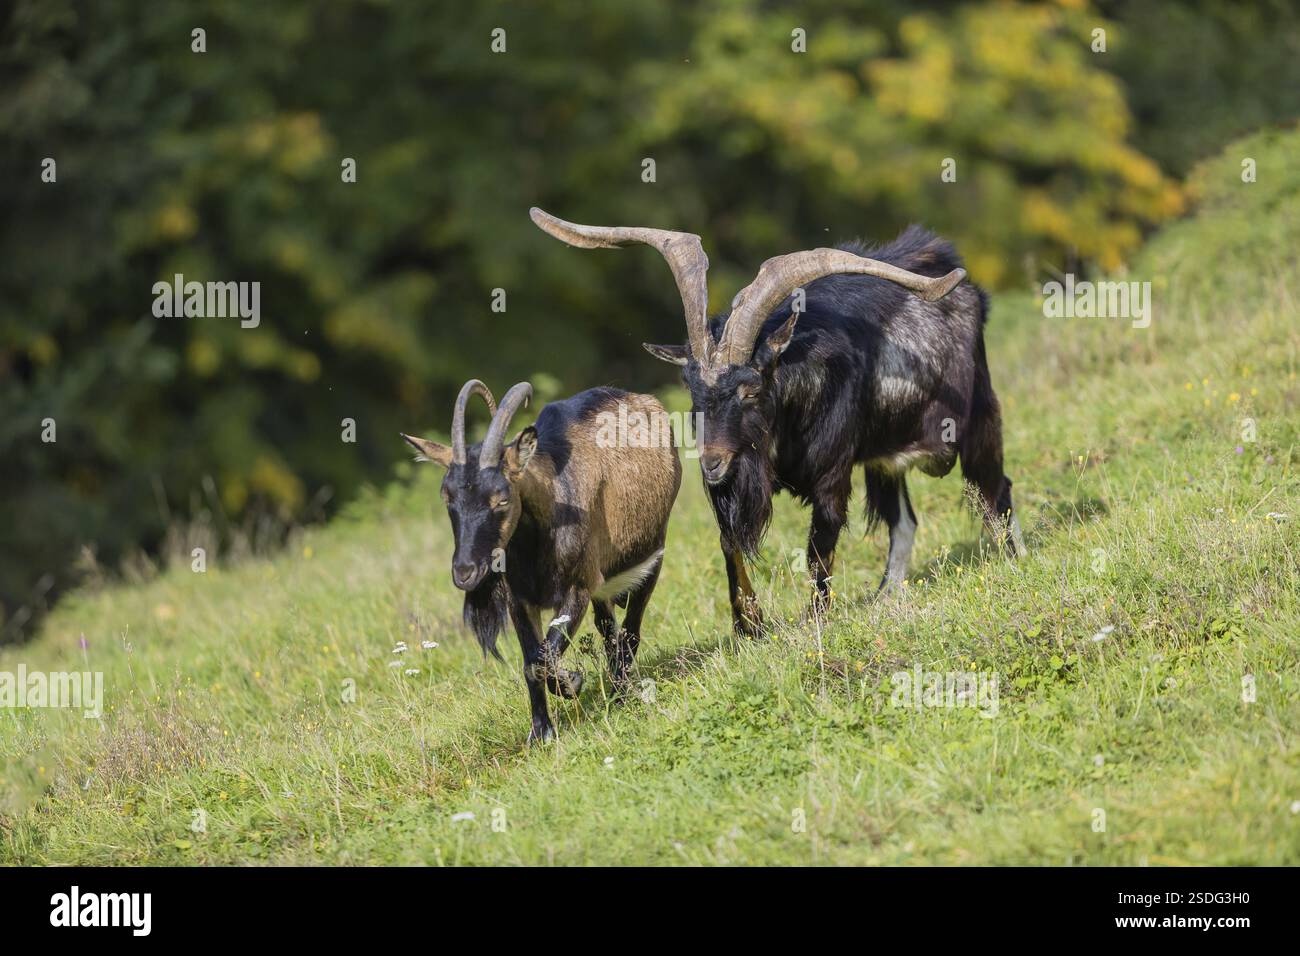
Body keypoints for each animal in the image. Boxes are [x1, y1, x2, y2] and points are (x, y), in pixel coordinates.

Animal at [402, 379, 681, 741]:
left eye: (502, 498)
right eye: (447, 496)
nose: (465, 572)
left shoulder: (577, 589)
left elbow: (544, 655)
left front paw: (572, 683)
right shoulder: (520, 599)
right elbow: (531, 661)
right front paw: (541, 731)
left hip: (652, 556)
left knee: (631, 630)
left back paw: (621, 692)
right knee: (607, 628)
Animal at [531, 208, 1024, 634]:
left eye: (751, 389)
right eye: (692, 390)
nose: (710, 463)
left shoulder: (833, 476)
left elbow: (819, 550)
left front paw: (814, 622)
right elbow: (730, 543)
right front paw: (748, 623)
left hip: (978, 419)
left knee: (995, 492)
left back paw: (1012, 560)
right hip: (884, 457)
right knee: (903, 520)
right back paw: (887, 596)